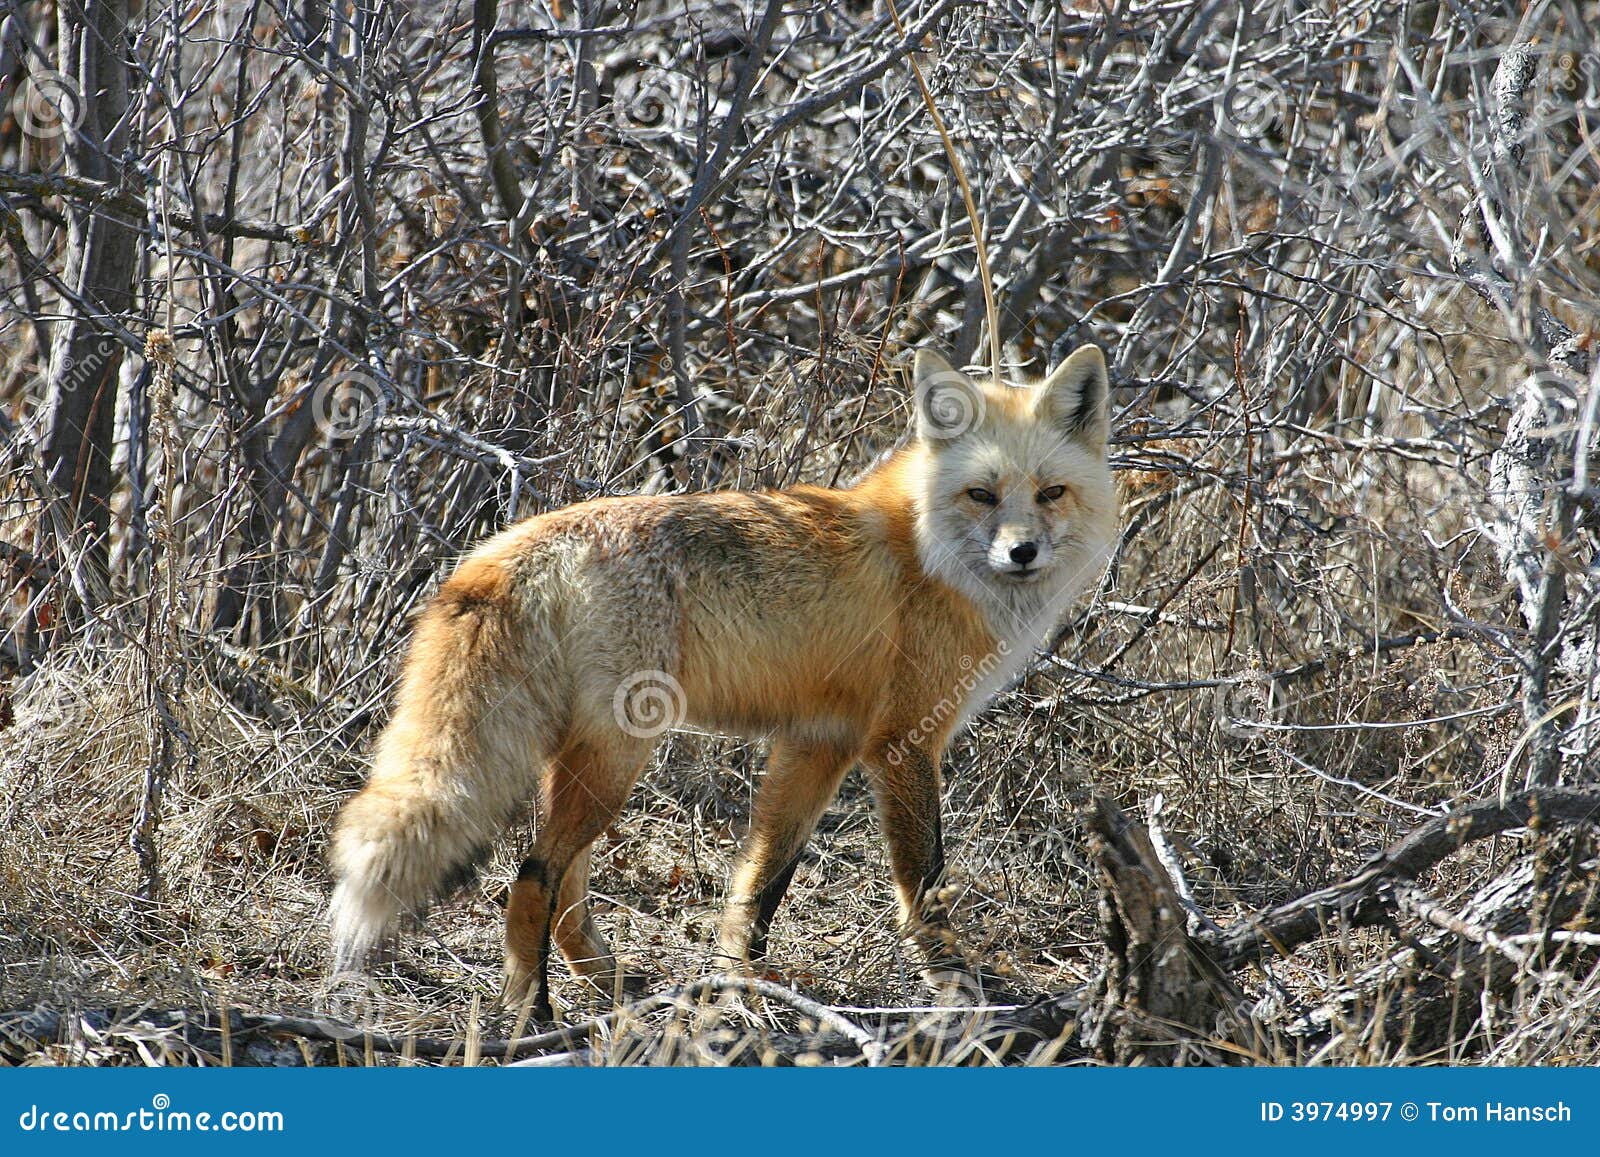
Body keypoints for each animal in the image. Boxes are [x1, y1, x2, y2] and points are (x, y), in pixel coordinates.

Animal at [328, 342, 1117, 1020]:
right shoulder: (902, 744)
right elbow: (925, 880)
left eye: (1051, 493)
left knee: (567, 888)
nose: (1022, 552)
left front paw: (738, 986)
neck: (927, 554)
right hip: (618, 755)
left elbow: (760, 885)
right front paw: (953, 985)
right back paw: (531, 1012)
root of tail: (505, 549)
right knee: (531, 878)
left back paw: (609, 983)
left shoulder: (818, 744)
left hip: (587, 760)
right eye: (982, 494)